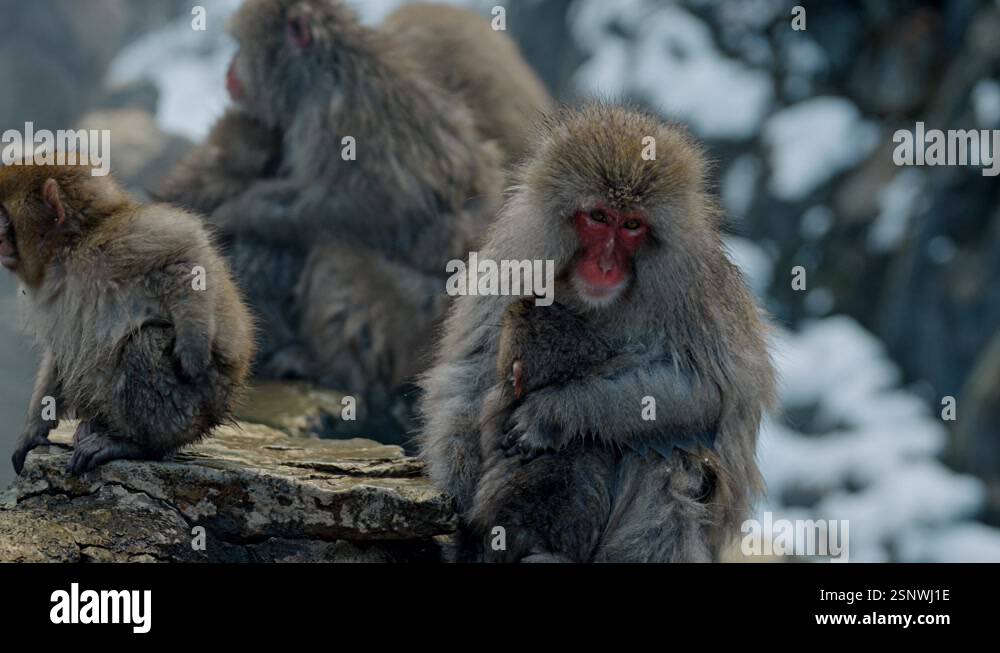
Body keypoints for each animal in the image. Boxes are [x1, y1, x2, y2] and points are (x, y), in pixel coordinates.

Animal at [1, 162, 255, 475]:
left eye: (2, 215)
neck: (72, 247)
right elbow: (59, 352)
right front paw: (34, 428)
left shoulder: (123, 241)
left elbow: (187, 254)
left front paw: (194, 347)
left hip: (195, 407)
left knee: (145, 343)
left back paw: (137, 444)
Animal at [418, 104, 776, 562]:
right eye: (599, 217)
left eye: (632, 225)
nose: (605, 265)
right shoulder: (515, 254)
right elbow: (470, 368)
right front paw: (457, 501)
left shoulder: (696, 284)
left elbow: (707, 390)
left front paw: (556, 413)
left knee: (669, 449)